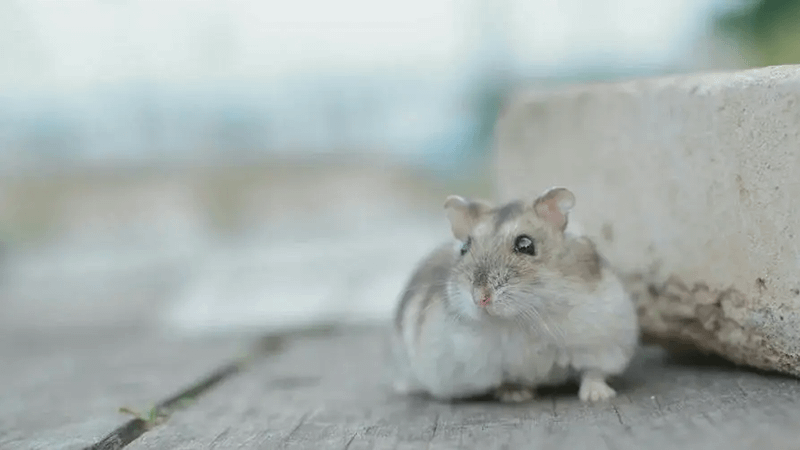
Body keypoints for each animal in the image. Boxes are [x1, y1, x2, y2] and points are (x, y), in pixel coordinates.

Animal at [390, 187, 639, 403]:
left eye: (525, 244)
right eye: (463, 248)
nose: (480, 298)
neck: (520, 319)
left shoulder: (603, 344)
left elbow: (593, 372)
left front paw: (597, 396)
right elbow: (506, 379)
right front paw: (516, 395)